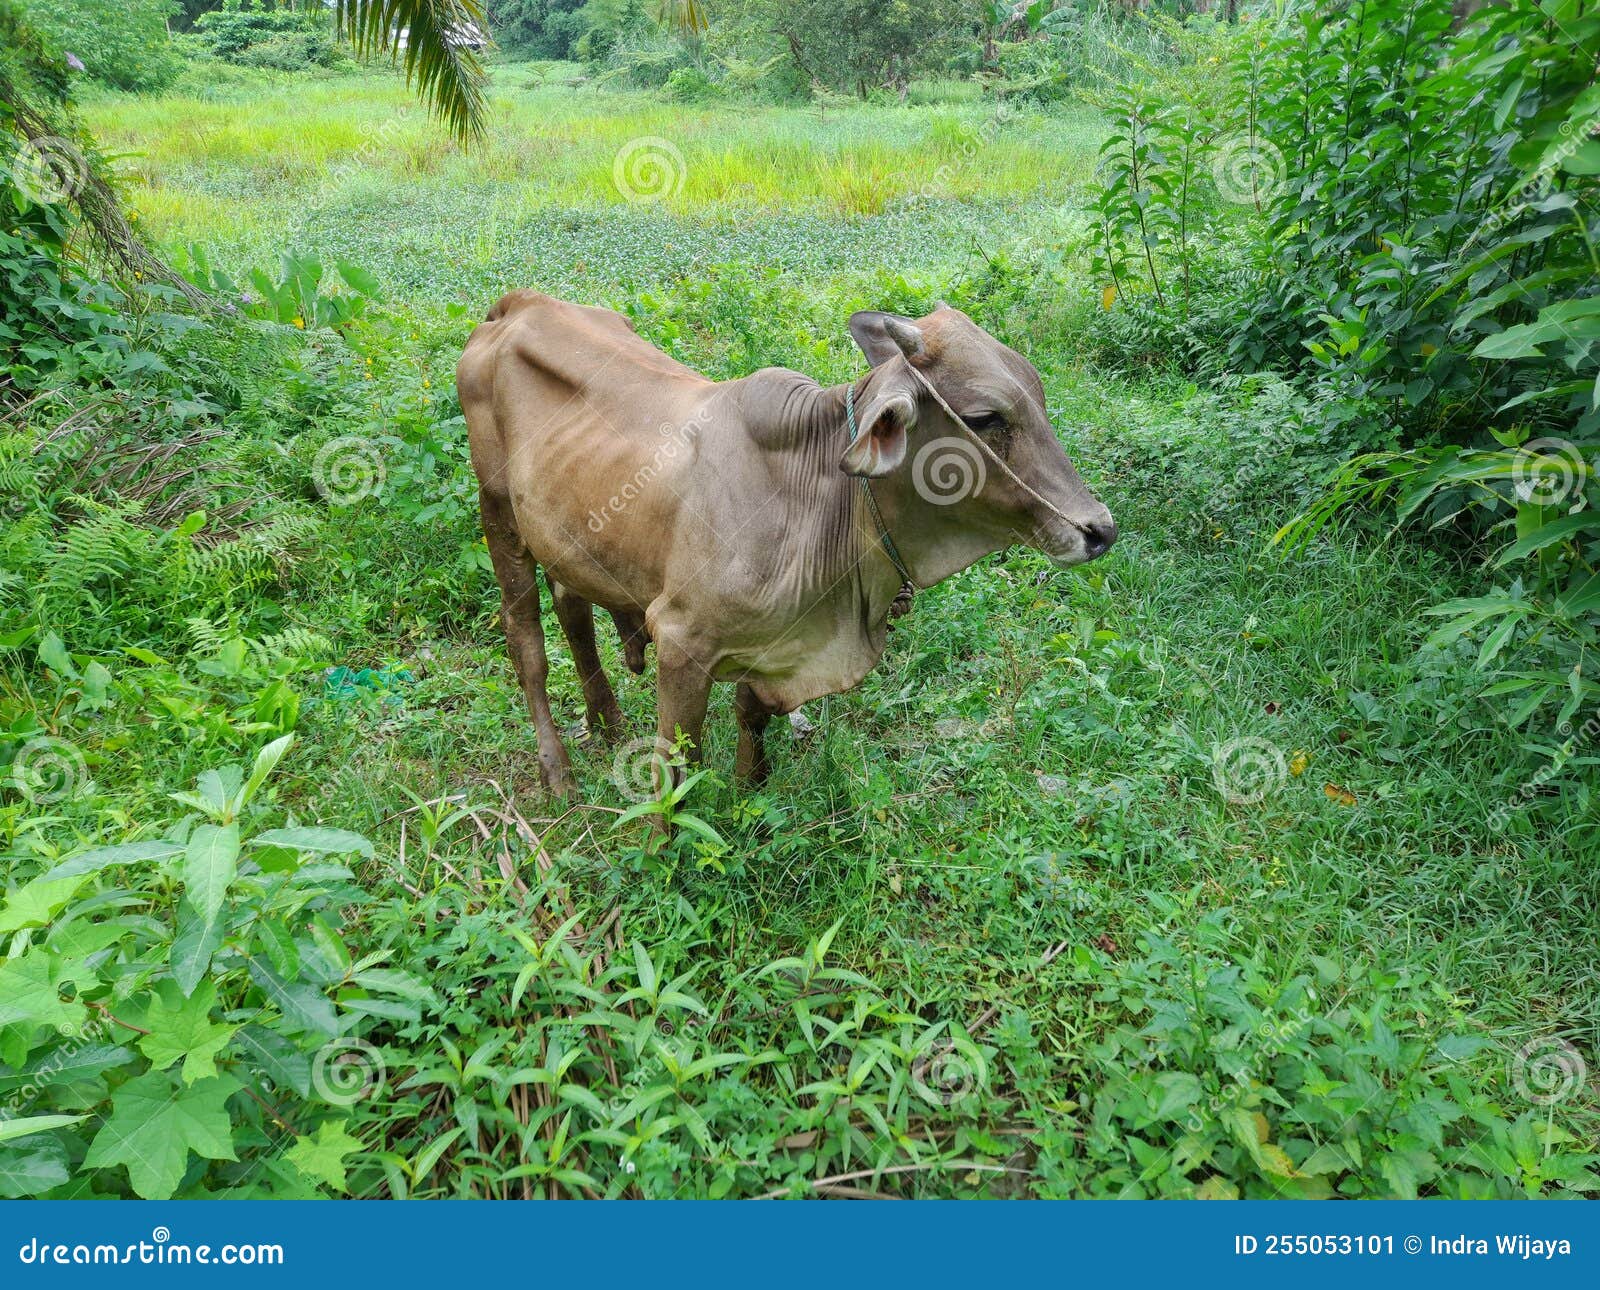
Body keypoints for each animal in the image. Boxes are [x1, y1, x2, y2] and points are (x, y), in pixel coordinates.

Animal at [456, 291, 1117, 798]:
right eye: (983, 418)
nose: (1100, 530)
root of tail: (519, 305)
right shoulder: (681, 640)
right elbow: (676, 763)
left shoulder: (776, 638)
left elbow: (752, 712)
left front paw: (752, 787)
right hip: (498, 515)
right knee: (527, 646)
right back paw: (559, 772)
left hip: (565, 531)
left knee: (572, 605)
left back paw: (608, 721)